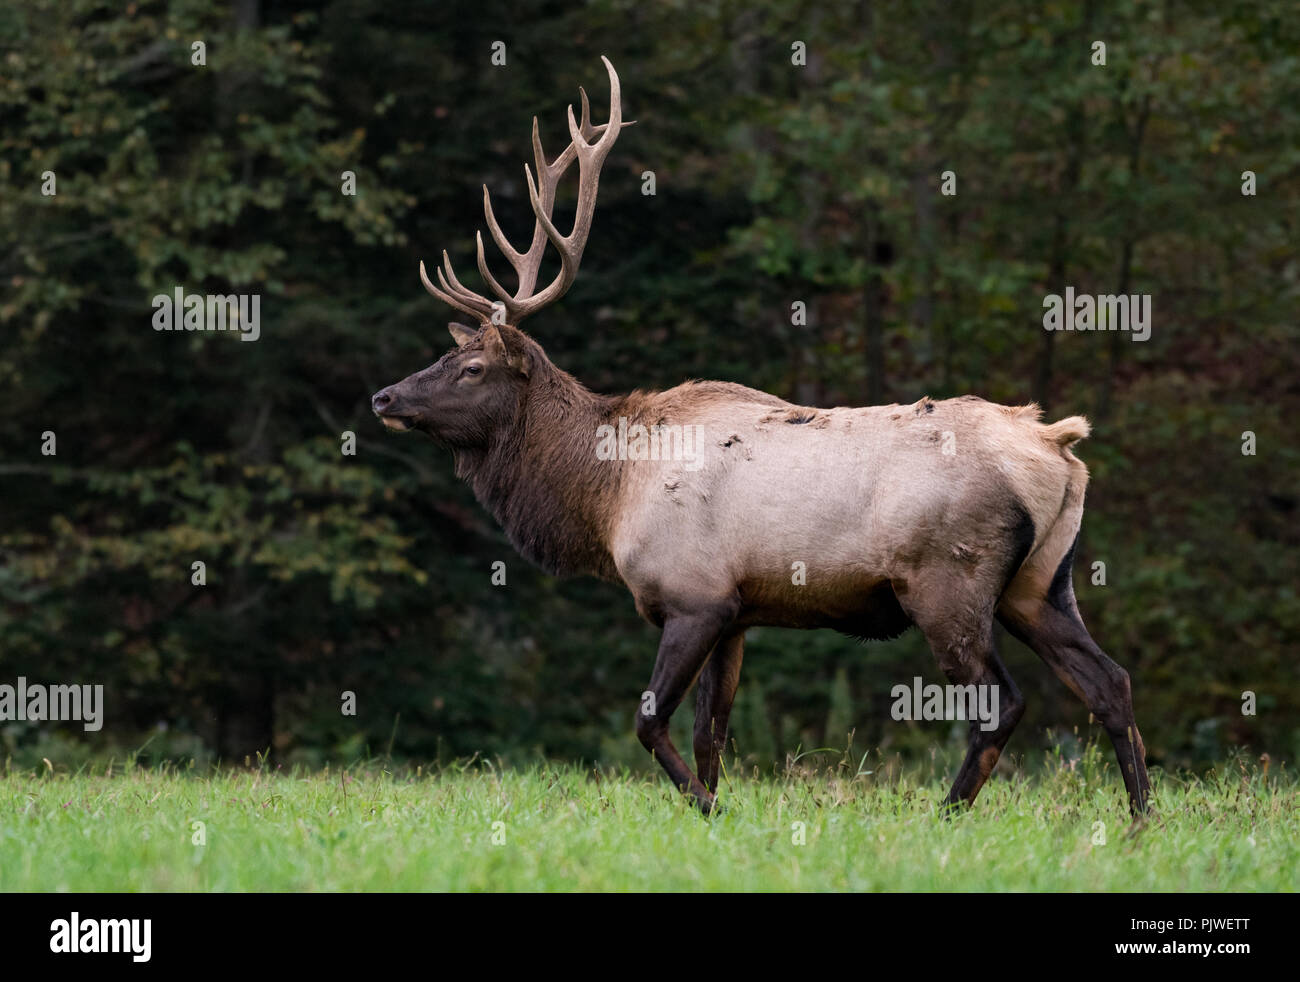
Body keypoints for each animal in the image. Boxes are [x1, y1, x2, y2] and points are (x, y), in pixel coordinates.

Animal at [371, 57, 1151, 817]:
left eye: (471, 367)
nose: (383, 396)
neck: (607, 496)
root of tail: (1058, 447)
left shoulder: (694, 596)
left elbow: (650, 721)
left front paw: (711, 809)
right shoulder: (738, 614)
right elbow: (711, 732)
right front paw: (712, 811)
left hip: (946, 581)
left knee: (1004, 704)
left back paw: (949, 813)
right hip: (1042, 580)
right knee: (1110, 680)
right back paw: (1141, 816)